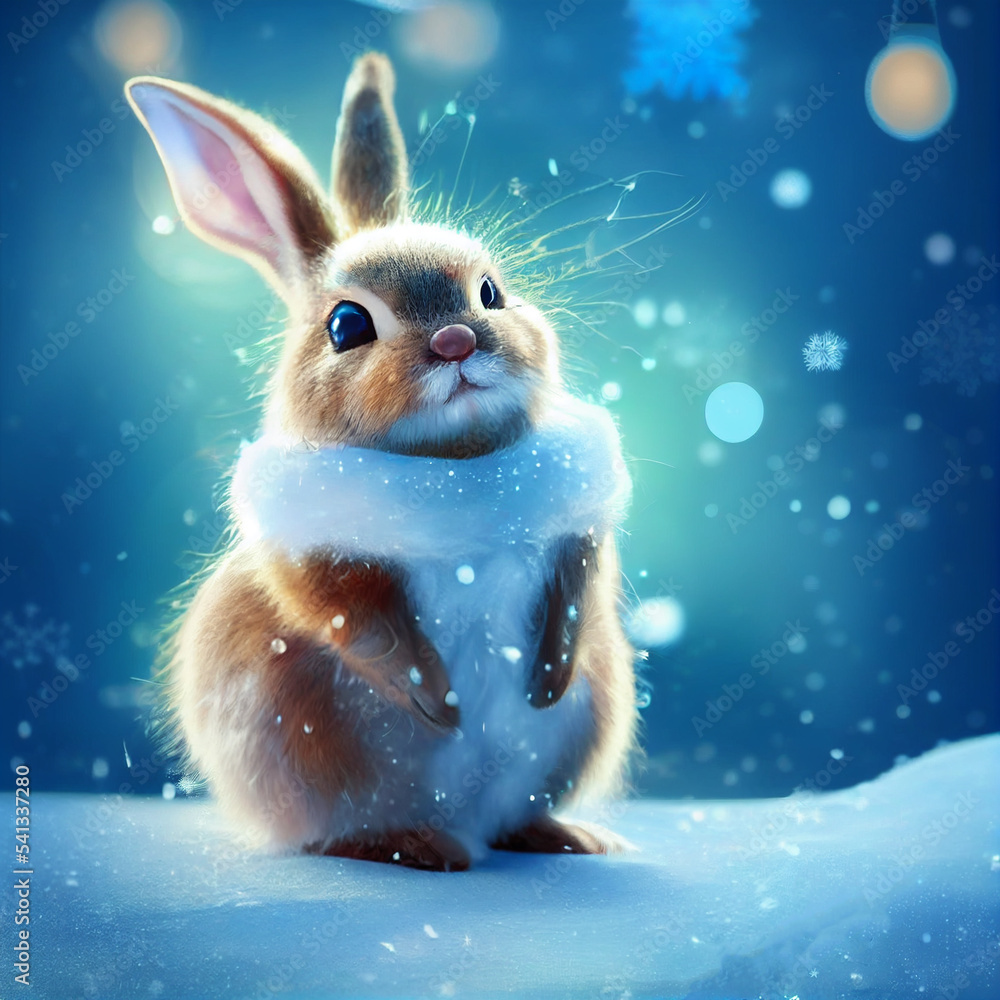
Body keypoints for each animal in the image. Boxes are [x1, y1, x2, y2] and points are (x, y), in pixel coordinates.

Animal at [125, 52, 638, 871]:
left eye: (490, 292)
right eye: (346, 326)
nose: (457, 341)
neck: (456, 464)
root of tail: (469, 821)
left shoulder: (578, 532)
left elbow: (581, 588)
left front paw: (546, 680)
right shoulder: (314, 555)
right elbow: (360, 624)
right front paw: (441, 703)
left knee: (516, 817)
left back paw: (566, 835)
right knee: (339, 833)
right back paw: (419, 845)